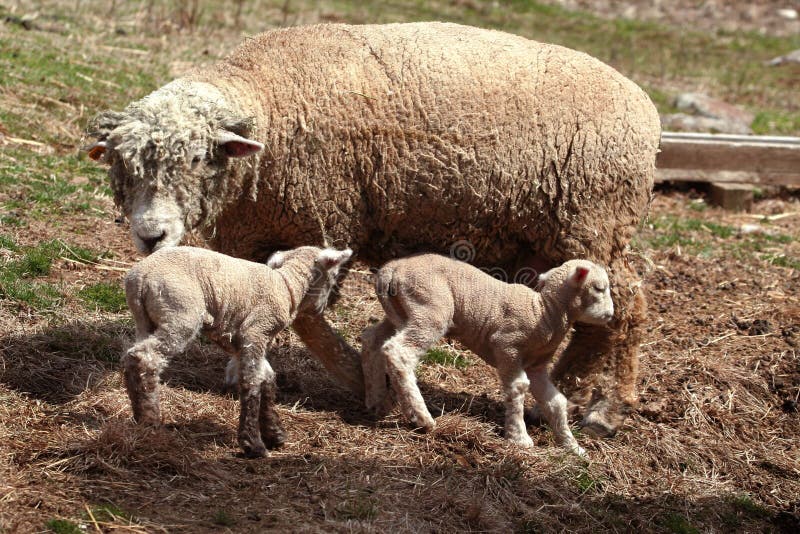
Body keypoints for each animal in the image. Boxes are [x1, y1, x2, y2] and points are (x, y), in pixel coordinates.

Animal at [123, 245, 352, 458]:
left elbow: (267, 377)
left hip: (145, 320)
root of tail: (140, 278)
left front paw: (274, 433)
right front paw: (253, 444)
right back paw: (150, 420)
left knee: (133, 356)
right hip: (180, 313)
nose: (323, 307)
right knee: (147, 358)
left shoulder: (241, 341)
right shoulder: (256, 331)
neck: (287, 286)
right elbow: (251, 381)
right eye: (333, 277)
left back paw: (138, 412)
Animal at [361, 255, 614, 456]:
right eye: (599, 288)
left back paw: (374, 398)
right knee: (399, 352)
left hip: (402, 313)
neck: (544, 311)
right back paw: (421, 417)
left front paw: (572, 446)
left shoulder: (537, 365)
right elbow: (518, 387)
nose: (611, 315)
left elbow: (555, 401)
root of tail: (390, 269)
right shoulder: (507, 346)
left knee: (373, 339)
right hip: (429, 309)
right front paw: (519, 437)